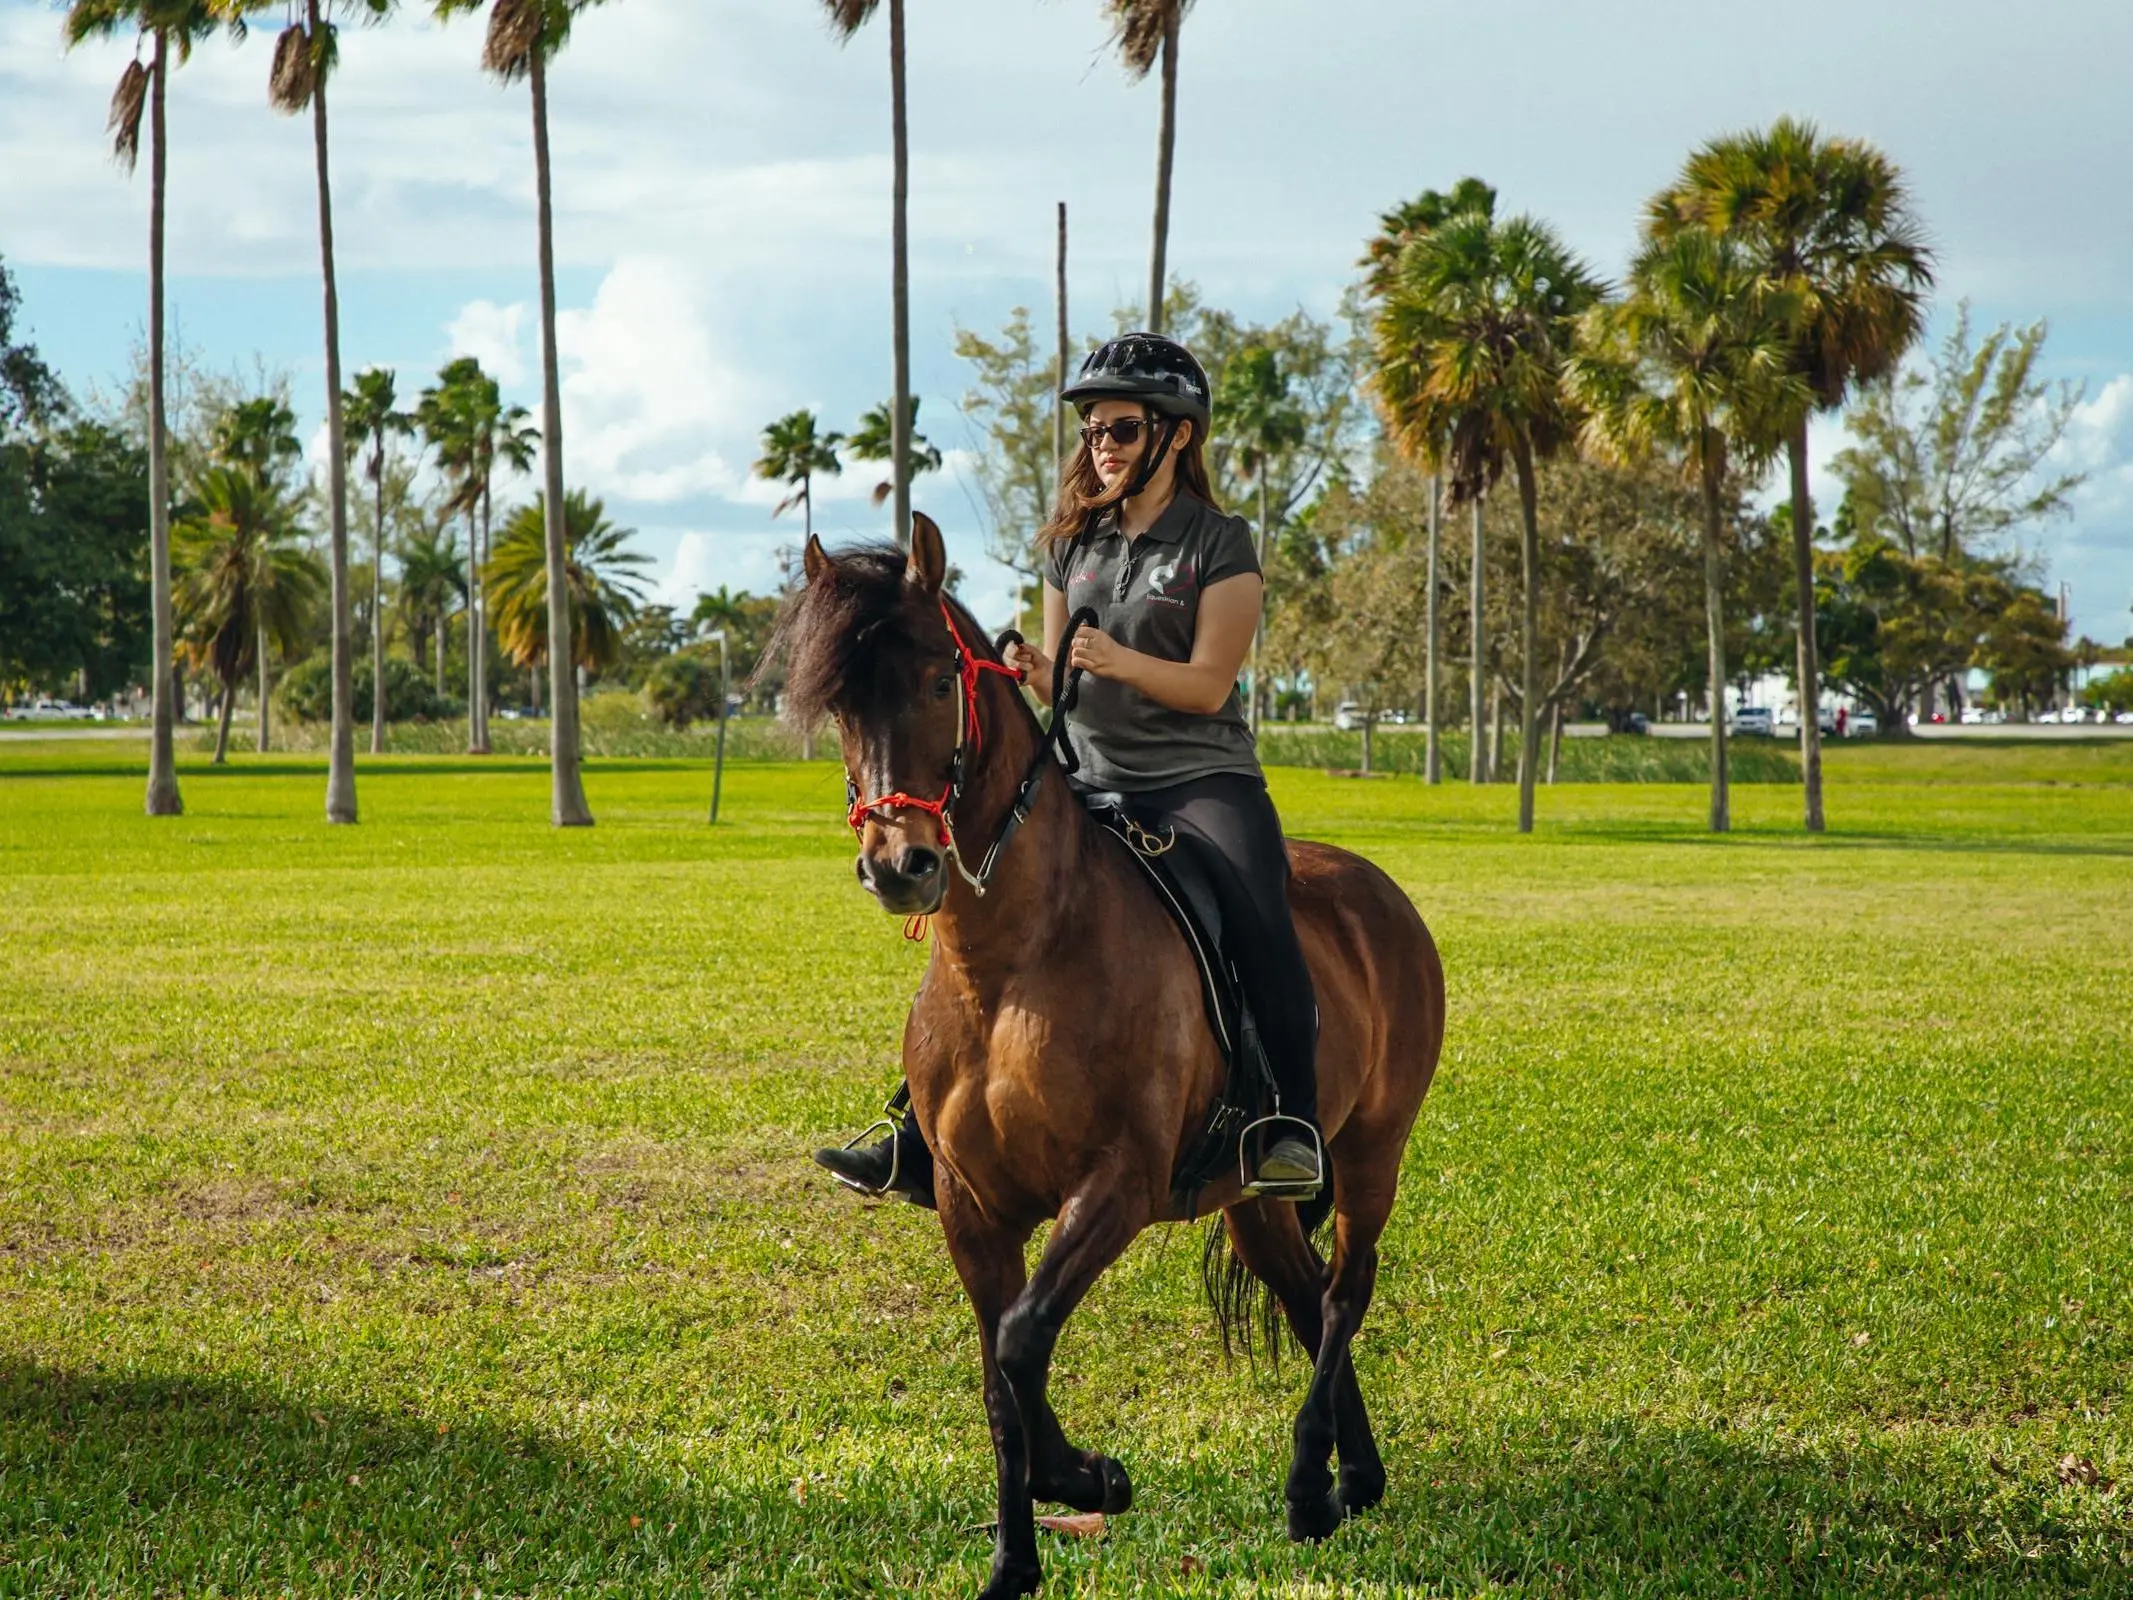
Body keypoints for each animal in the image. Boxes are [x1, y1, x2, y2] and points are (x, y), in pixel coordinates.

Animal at [777, 516, 1445, 1599]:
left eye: (935, 680)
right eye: (837, 701)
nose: (899, 868)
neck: (1013, 961)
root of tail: (1378, 890)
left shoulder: (1118, 1184)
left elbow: (1020, 1340)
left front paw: (1086, 1480)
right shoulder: (970, 1203)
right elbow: (999, 1371)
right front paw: (1019, 1556)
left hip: (1372, 1150)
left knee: (1347, 1290)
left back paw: (1310, 1486)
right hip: (1250, 1197)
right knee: (1306, 1300)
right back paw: (1354, 1479)